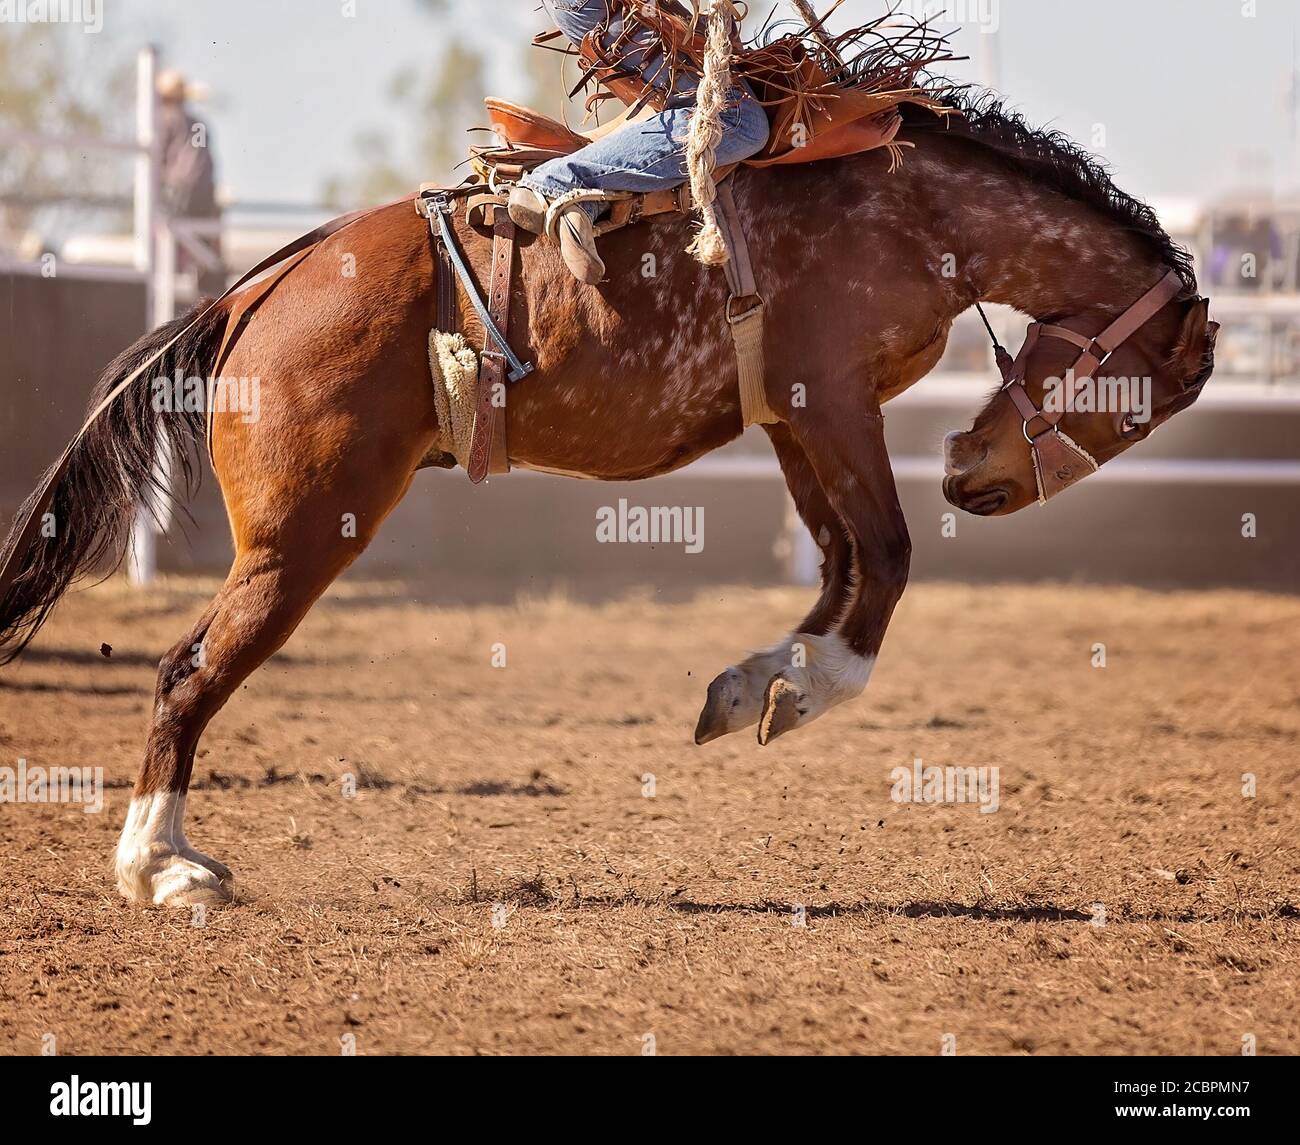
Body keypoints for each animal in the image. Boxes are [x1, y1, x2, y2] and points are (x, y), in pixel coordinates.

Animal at [0, 94, 1218, 907]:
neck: (908, 208)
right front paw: (802, 686)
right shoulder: (832, 402)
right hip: (299, 539)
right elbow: (885, 555)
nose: (987, 483)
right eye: (1132, 407)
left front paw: (759, 682)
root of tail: (254, 291)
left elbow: (839, 561)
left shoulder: (793, 418)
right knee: (188, 668)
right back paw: (161, 867)